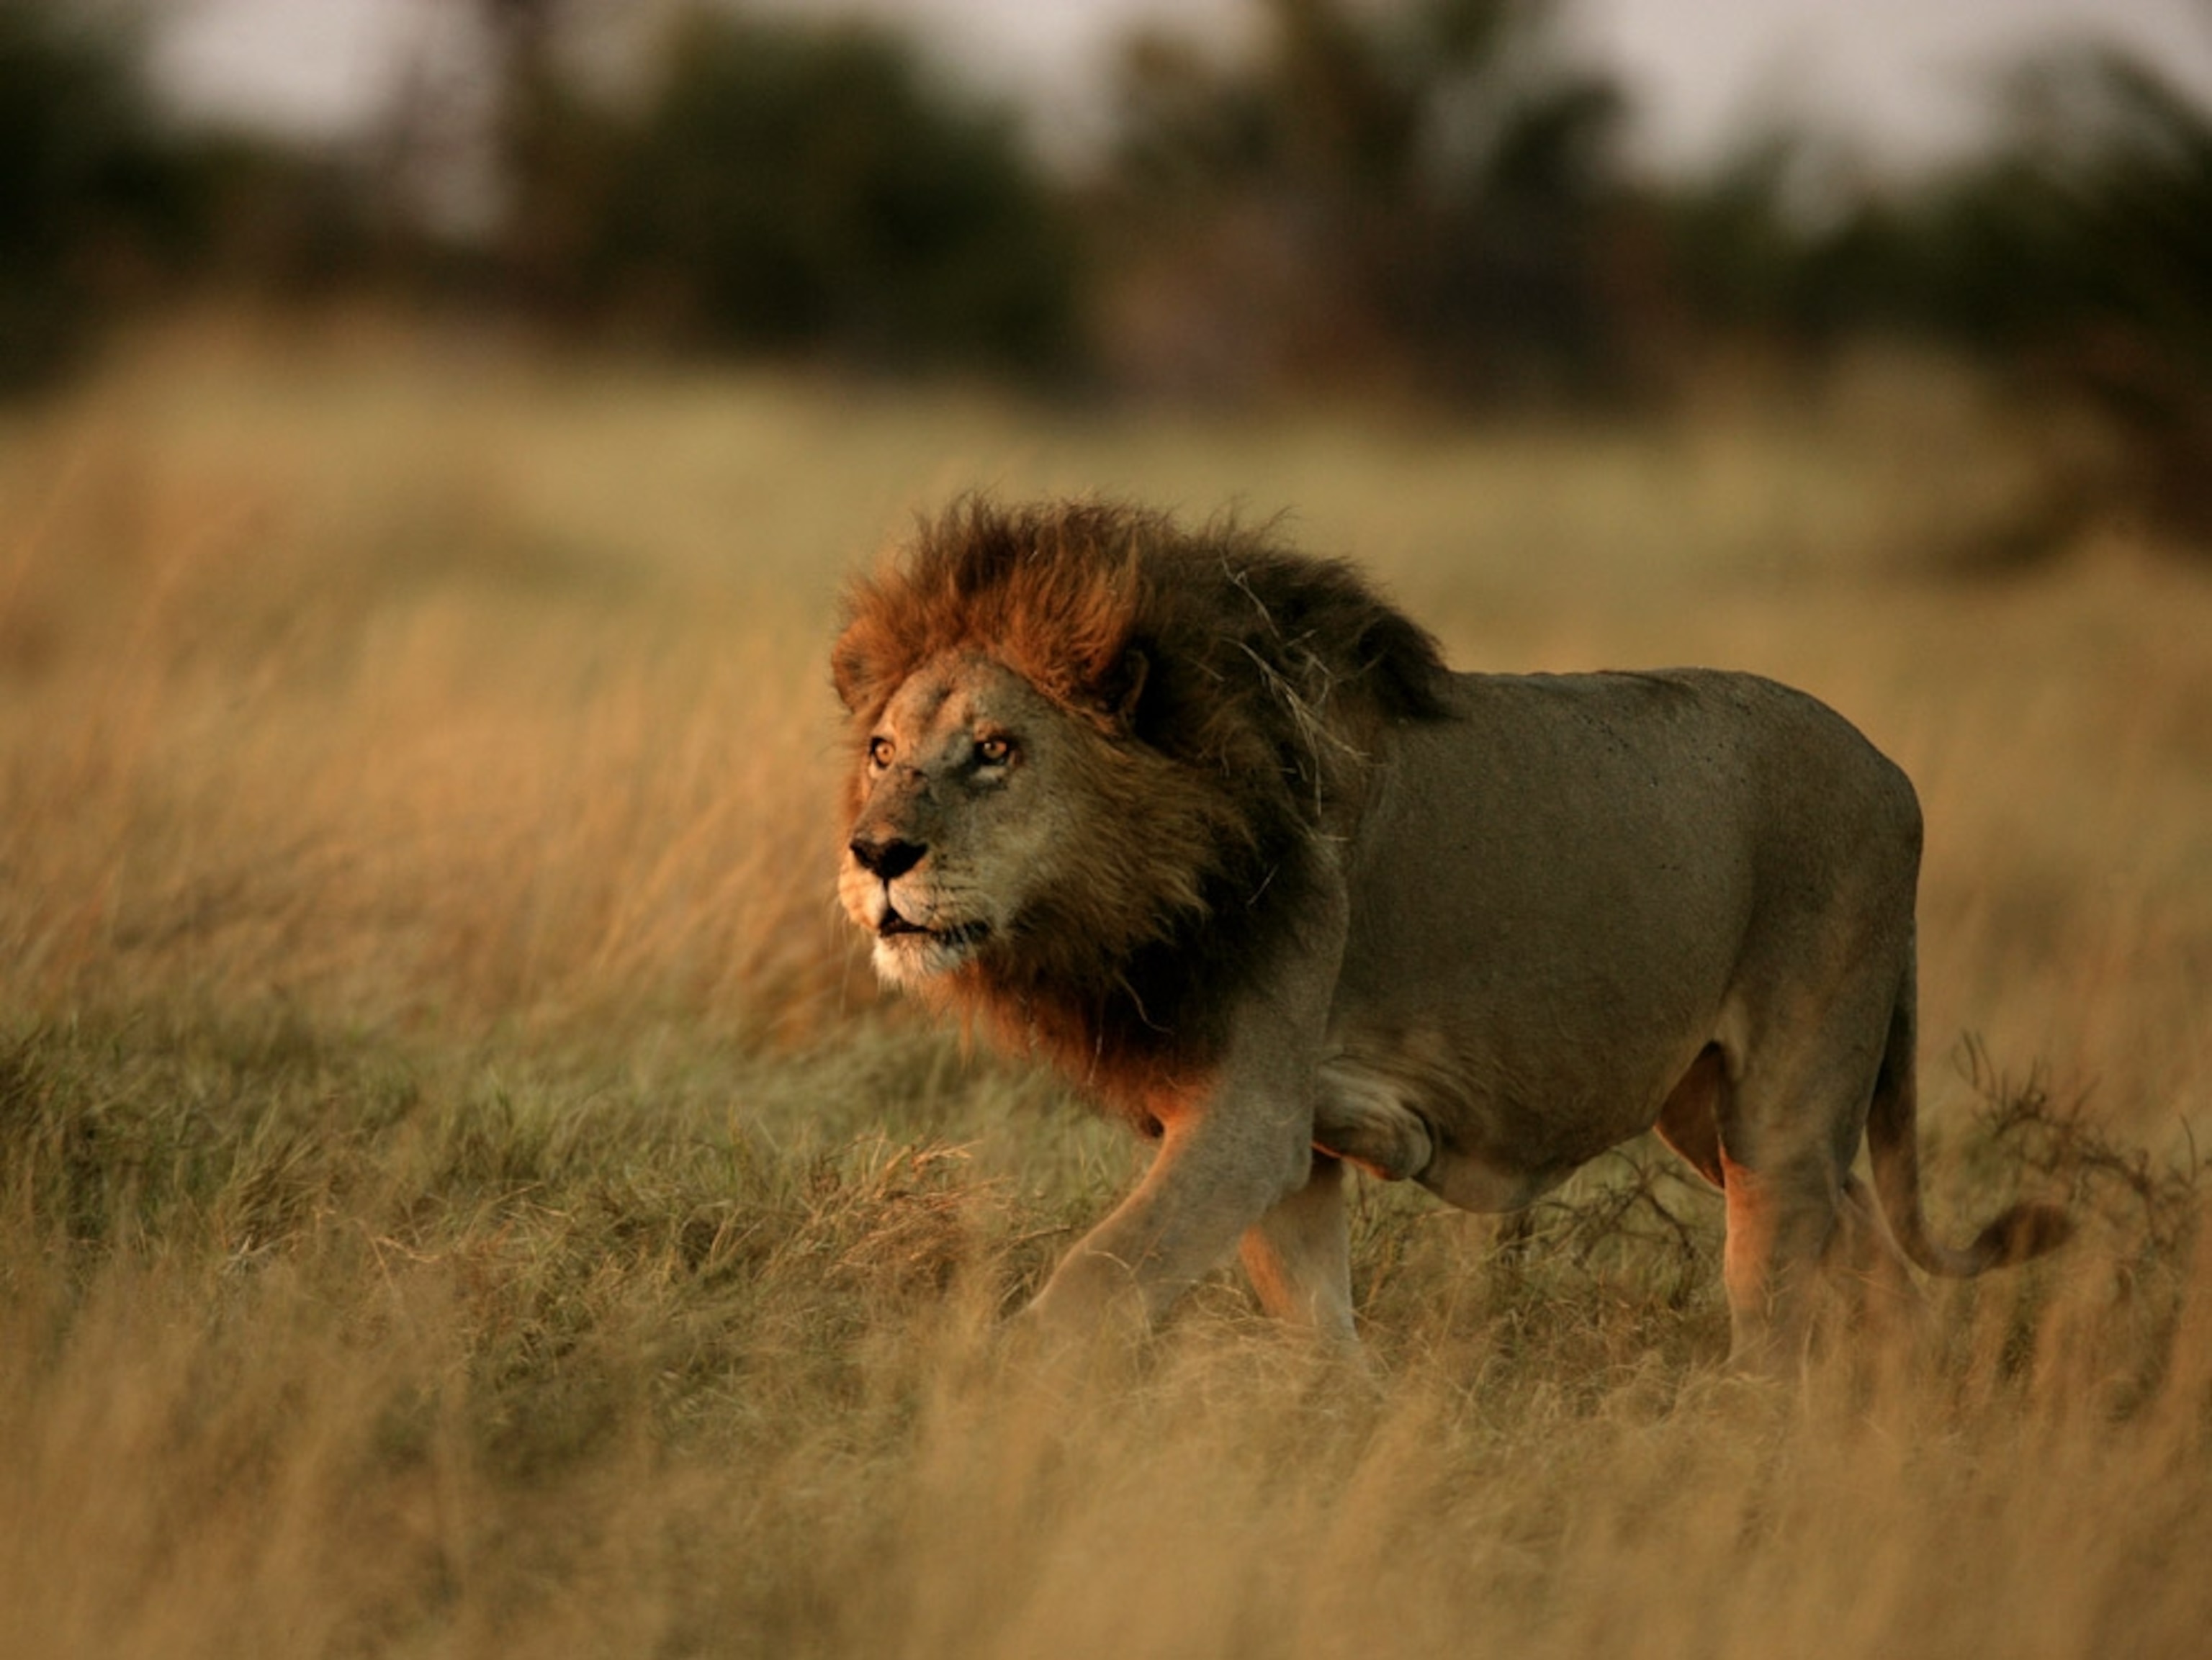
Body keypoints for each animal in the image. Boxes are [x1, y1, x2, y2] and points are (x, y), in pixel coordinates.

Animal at [832, 497, 2068, 1371]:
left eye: (997, 750)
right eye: (885, 751)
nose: (877, 853)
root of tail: (1895, 773)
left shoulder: (1250, 1117)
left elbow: (1101, 1273)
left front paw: (986, 1387)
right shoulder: (1290, 1141)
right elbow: (1316, 1322)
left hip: (1782, 1114)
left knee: (1783, 1295)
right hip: (1708, 1106)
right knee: (1876, 1255)